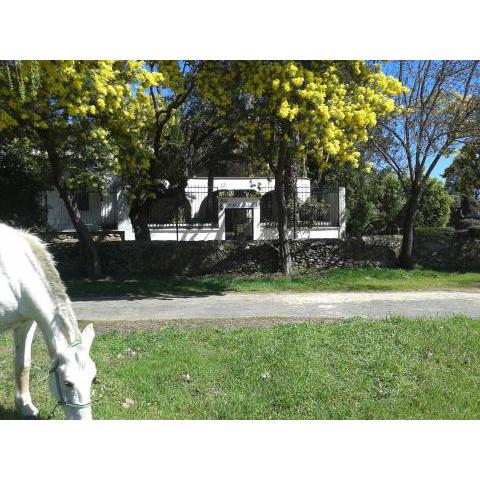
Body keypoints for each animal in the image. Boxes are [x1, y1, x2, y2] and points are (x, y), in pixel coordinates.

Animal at [0, 223, 96, 418]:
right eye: (67, 383)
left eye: (93, 379)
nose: (84, 420)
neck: (14, 278)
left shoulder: (27, 323)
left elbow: (23, 364)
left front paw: (25, 407)